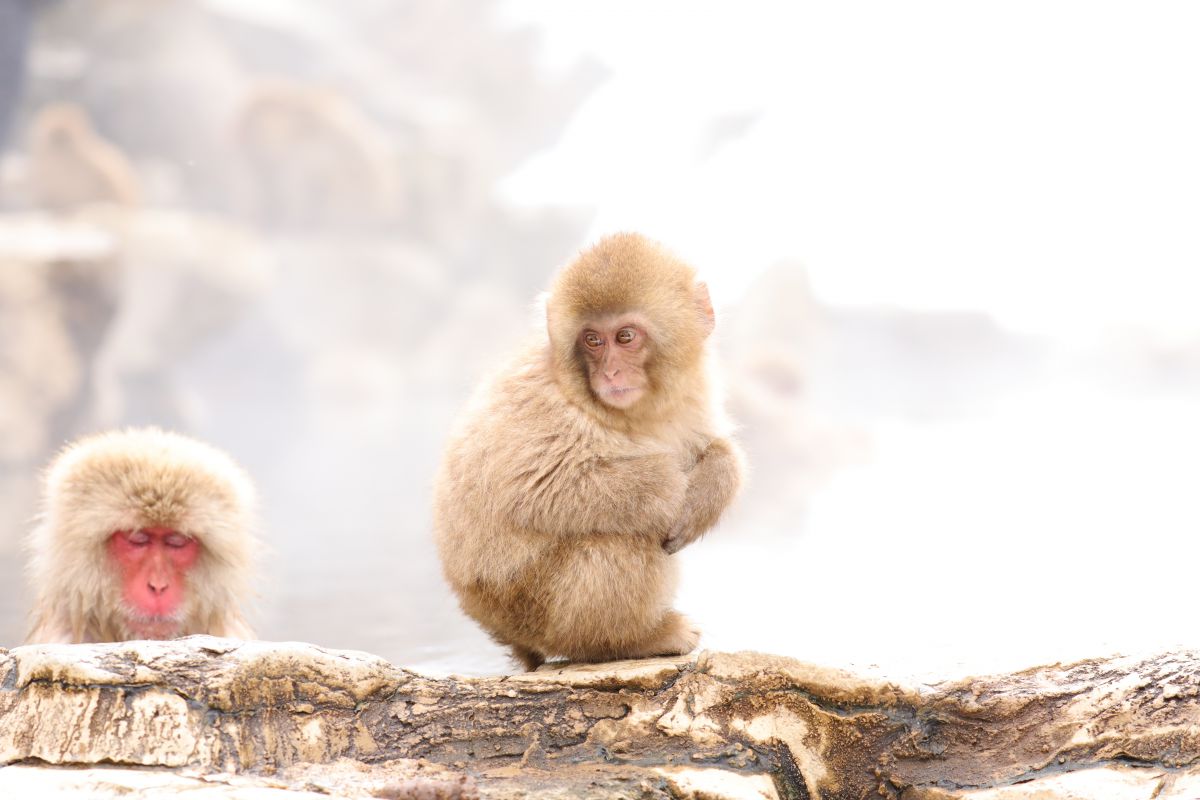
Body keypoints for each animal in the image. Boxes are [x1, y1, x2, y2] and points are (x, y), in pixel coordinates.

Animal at [433, 233, 744, 670]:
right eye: (592, 340)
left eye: (625, 337)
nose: (609, 373)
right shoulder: (542, 405)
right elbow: (540, 489)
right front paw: (671, 482)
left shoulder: (692, 394)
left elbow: (714, 445)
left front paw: (713, 483)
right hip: (534, 606)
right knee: (622, 537)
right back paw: (630, 640)